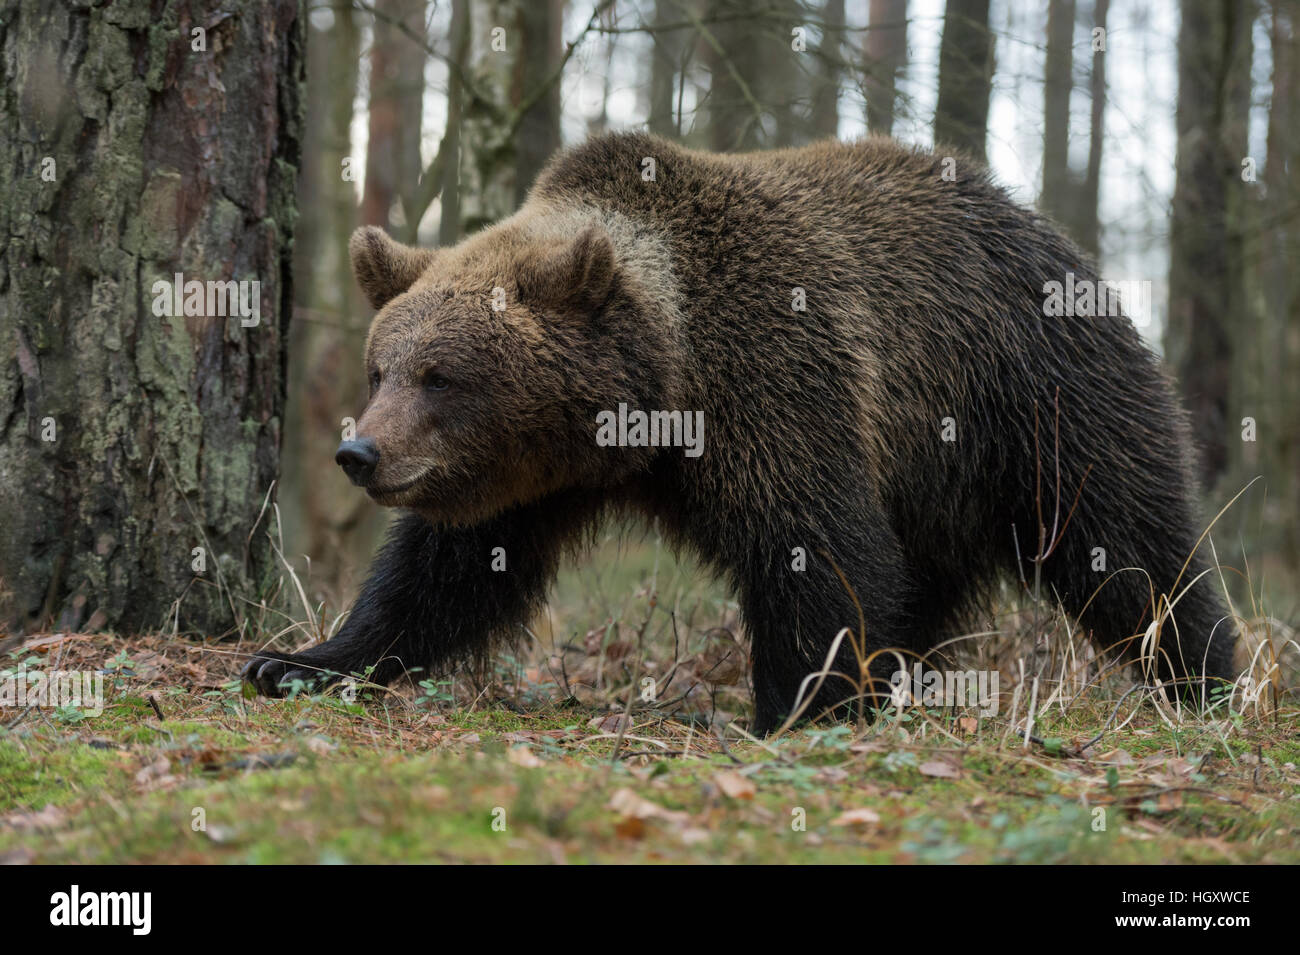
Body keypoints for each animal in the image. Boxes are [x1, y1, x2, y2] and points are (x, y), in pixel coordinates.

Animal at [243, 131, 1238, 734]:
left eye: (441, 375)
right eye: (382, 367)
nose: (361, 452)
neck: (657, 392)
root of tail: (1056, 234)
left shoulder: (776, 388)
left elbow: (818, 551)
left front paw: (799, 707)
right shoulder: (536, 477)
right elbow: (444, 573)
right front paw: (297, 659)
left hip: (1037, 396)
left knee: (1131, 546)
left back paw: (1207, 679)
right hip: (937, 472)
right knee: (934, 582)